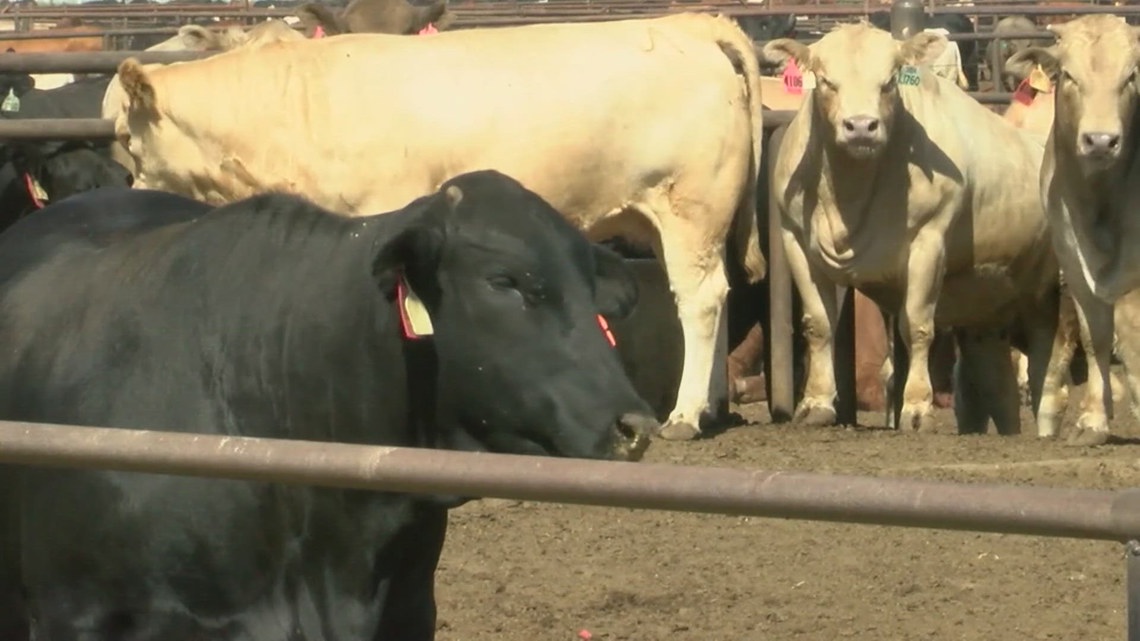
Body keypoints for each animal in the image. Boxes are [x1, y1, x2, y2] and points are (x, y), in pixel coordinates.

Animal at [112, 13, 766, 442]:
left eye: (126, 137)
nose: (125, 193)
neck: (297, 105)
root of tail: (691, 24)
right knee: (719, 293)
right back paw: (711, 403)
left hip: (689, 207)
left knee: (701, 300)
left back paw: (685, 415)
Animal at [763, 23, 1070, 437]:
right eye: (826, 81)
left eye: (889, 81)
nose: (861, 127)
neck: (853, 195)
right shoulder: (796, 242)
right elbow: (819, 325)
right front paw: (815, 404)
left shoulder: (929, 244)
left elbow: (918, 326)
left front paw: (917, 408)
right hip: (989, 302)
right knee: (997, 380)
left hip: (1053, 294)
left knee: (1048, 372)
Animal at [1006, 14, 1140, 445]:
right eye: (1069, 75)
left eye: (1131, 76)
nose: (1100, 141)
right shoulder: (1074, 263)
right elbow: (1095, 334)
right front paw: (1094, 420)